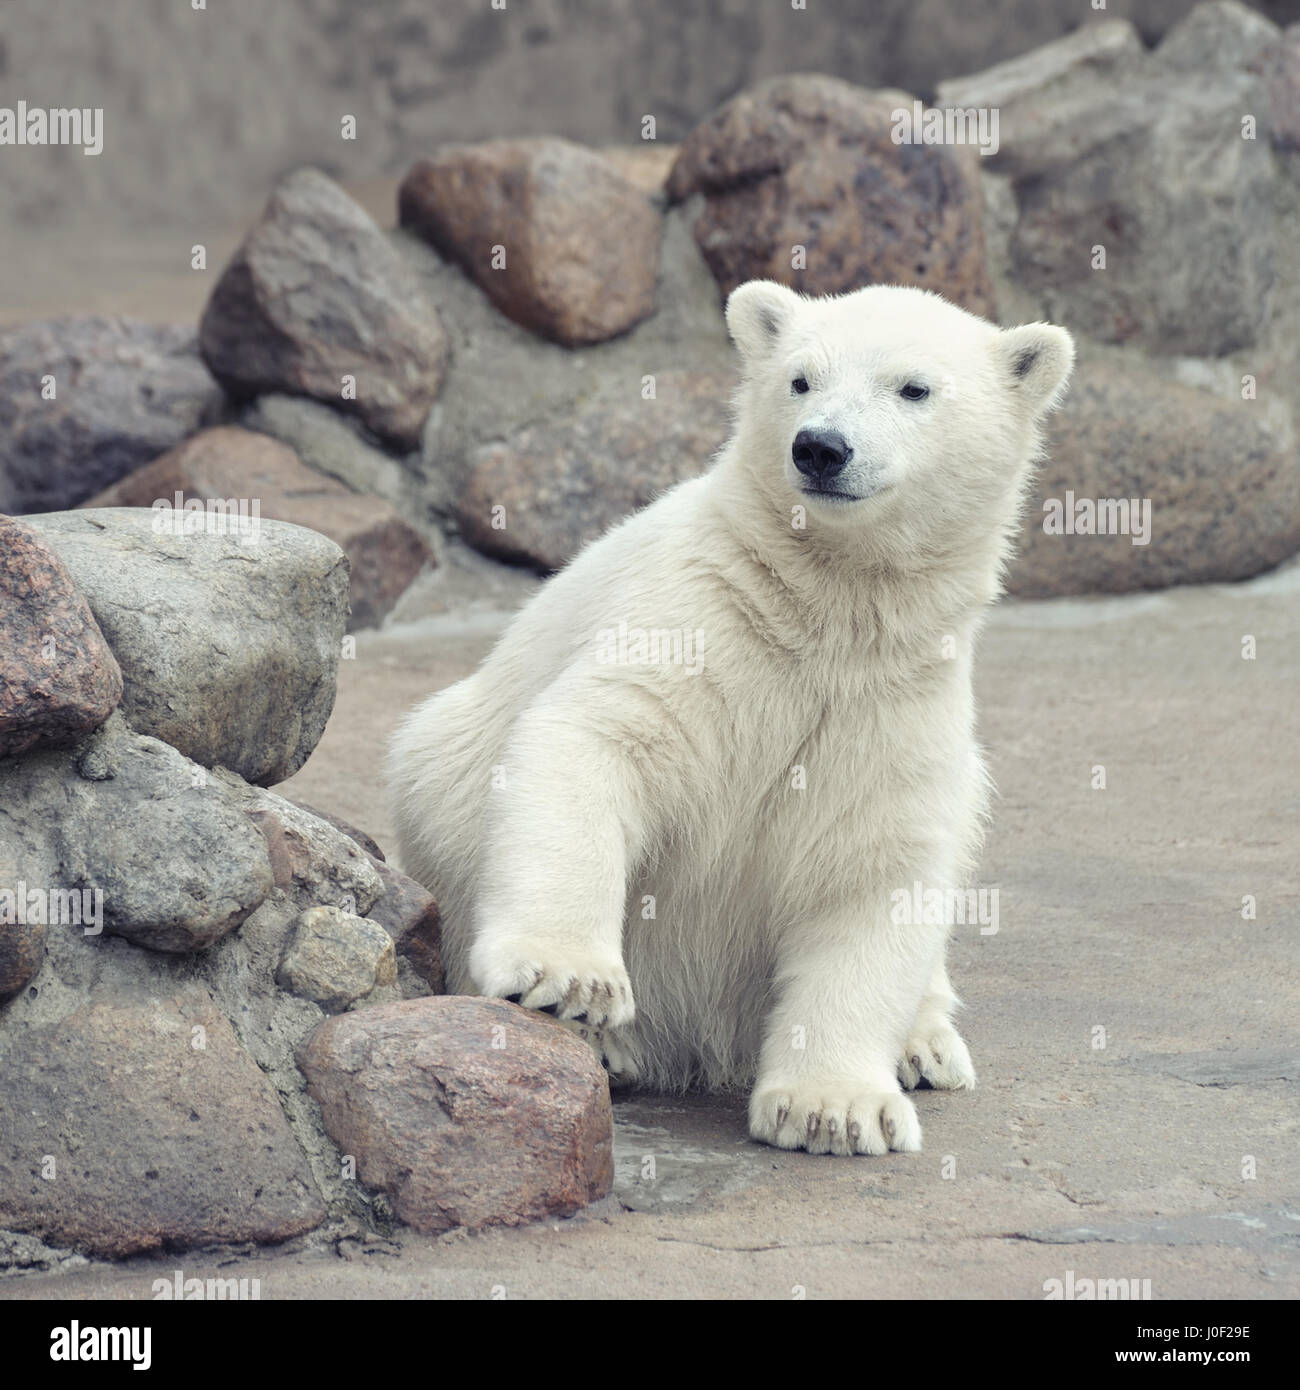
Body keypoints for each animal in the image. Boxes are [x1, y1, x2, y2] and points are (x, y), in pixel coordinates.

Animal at [387, 281, 1074, 1156]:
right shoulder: (697, 624)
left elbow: (876, 866)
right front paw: (568, 980)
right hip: (441, 769)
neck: (825, 608)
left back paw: (927, 1044)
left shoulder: (893, 700)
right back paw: (610, 1047)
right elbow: (596, 739)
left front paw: (833, 1109)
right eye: (801, 379)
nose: (821, 448)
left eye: (914, 388)